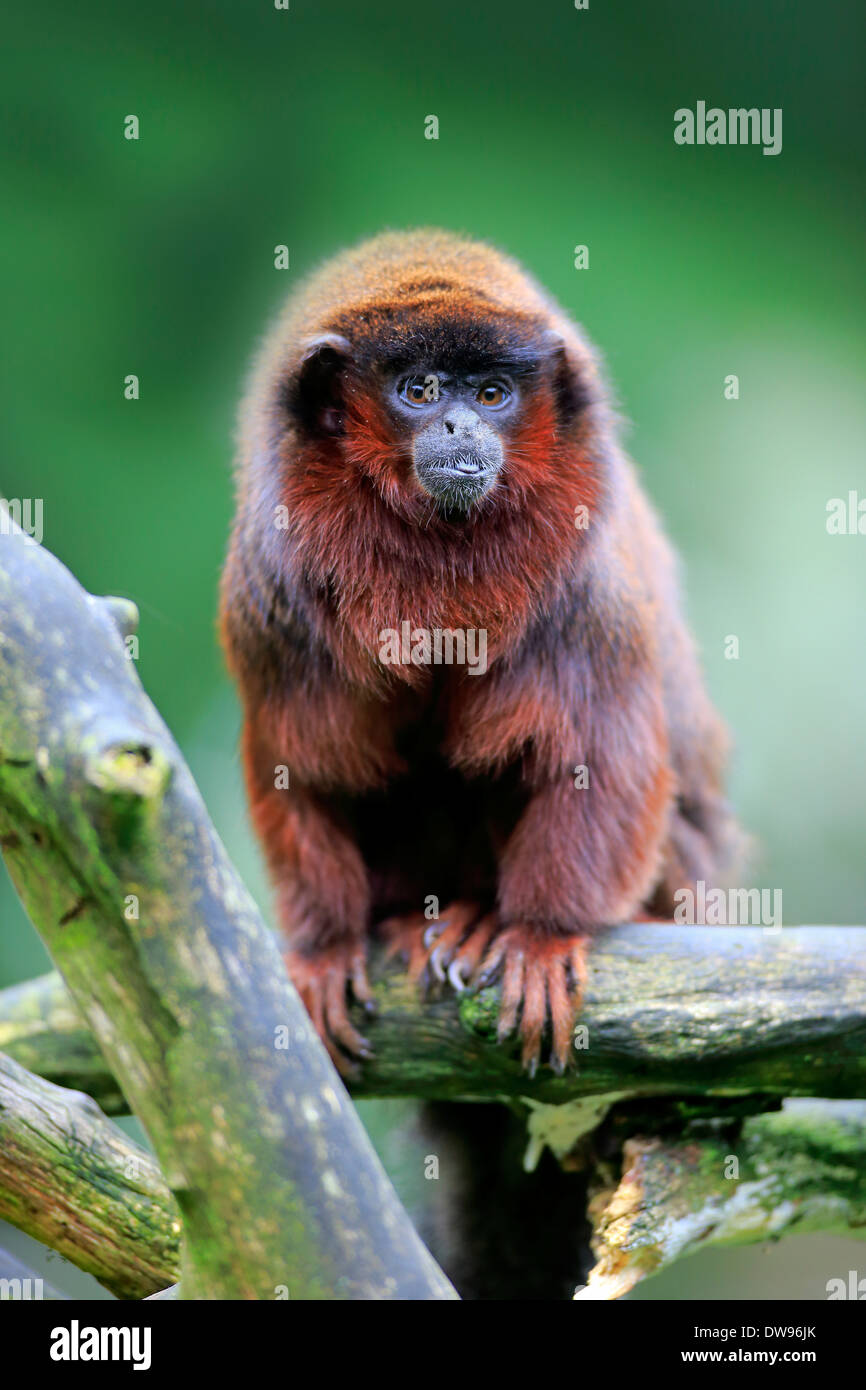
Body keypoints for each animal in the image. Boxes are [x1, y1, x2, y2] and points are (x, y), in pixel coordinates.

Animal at [220, 228, 742, 1078]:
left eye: (493, 395)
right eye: (421, 391)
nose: (462, 428)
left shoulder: (585, 587)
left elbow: (601, 752)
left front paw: (539, 934)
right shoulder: (272, 596)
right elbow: (305, 764)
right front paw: (327, 945)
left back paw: (478, 919)